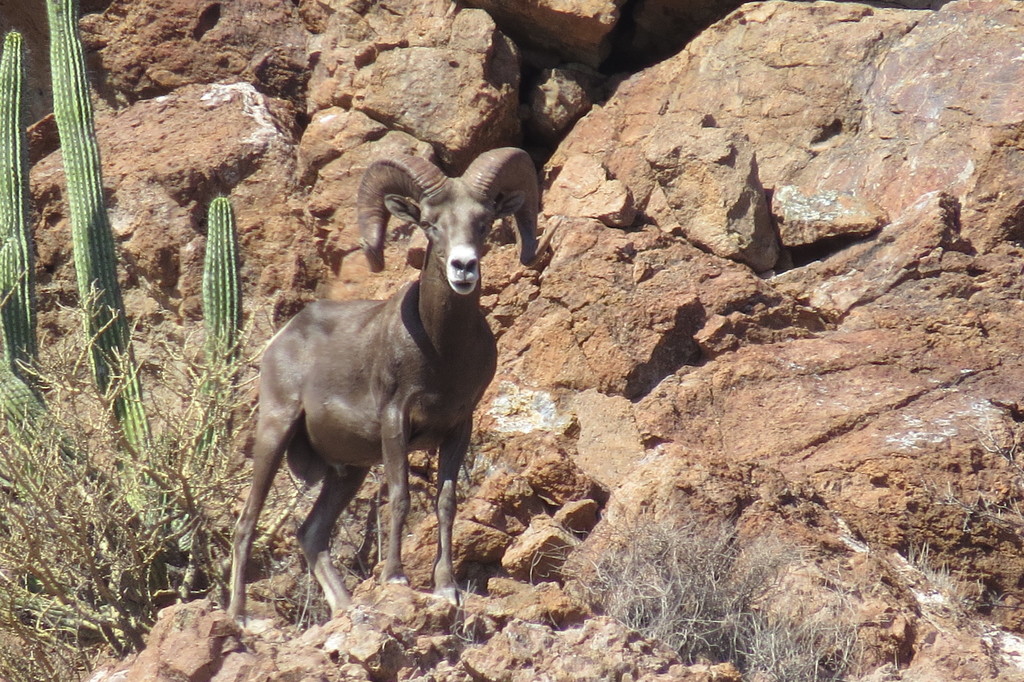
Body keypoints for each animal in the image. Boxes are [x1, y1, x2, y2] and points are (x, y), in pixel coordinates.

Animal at [227, 147, 539, 620]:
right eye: (429, 223)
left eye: (484, 222)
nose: (463, 267)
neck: (442, 353)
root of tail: (284, 337)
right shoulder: (396, 419)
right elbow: (401, 497)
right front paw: (396, 578)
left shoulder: (458, 428)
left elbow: (446, 503)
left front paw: (447, 588)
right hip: (275, 431)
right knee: (246, 523)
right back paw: (240, 619)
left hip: (347, 472)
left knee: (311, 534)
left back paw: (346, 609)